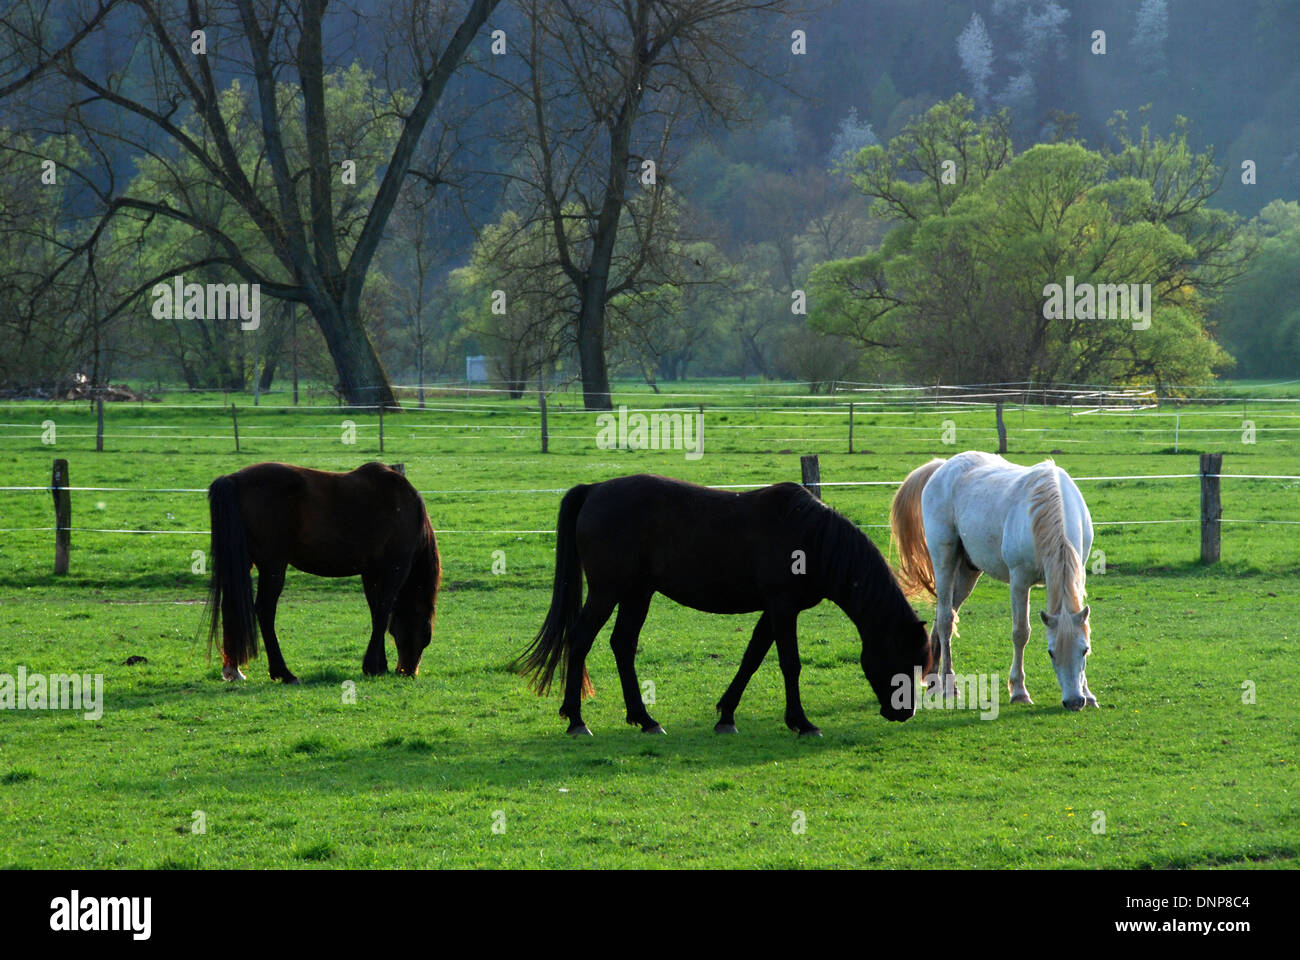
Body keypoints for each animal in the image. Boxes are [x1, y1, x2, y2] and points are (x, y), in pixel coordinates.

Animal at [203, 461, 440, 683]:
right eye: (425, 635)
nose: (407, 671)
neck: (408, 509)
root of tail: (233, 478)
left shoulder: (371, 573)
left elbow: (376, 613)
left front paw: (379, 665)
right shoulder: (395, 568)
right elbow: (383, 611)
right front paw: (373, 666)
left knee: (230, 606)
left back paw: (233, 670)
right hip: (273, 566)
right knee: (265, 610)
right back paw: (284, 673)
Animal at [512, 474, 933, 737]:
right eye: (902, 658)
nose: (903, 712)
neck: (812, 539)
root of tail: (595, 489)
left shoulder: (773, 610)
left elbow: (752, 658)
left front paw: (727, 715)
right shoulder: (783, 607)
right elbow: (789, 664)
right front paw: (802, 722)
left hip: (637, 593)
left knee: (623, 646)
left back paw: (645, 719)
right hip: (607, 591)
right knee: (581, 639)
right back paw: (576, 720)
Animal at [890, 451, 1098, 711]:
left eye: (1085, 650)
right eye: (1051, 652)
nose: (1074, 701)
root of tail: (943, 467)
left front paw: (1088, 693)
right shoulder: (1019, 581)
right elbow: (1021, 632)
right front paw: (1019, 691)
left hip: (968, 572)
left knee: (943, 615)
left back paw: (934, 680)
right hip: (944, 558)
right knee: (946, 619)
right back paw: (949, 686)